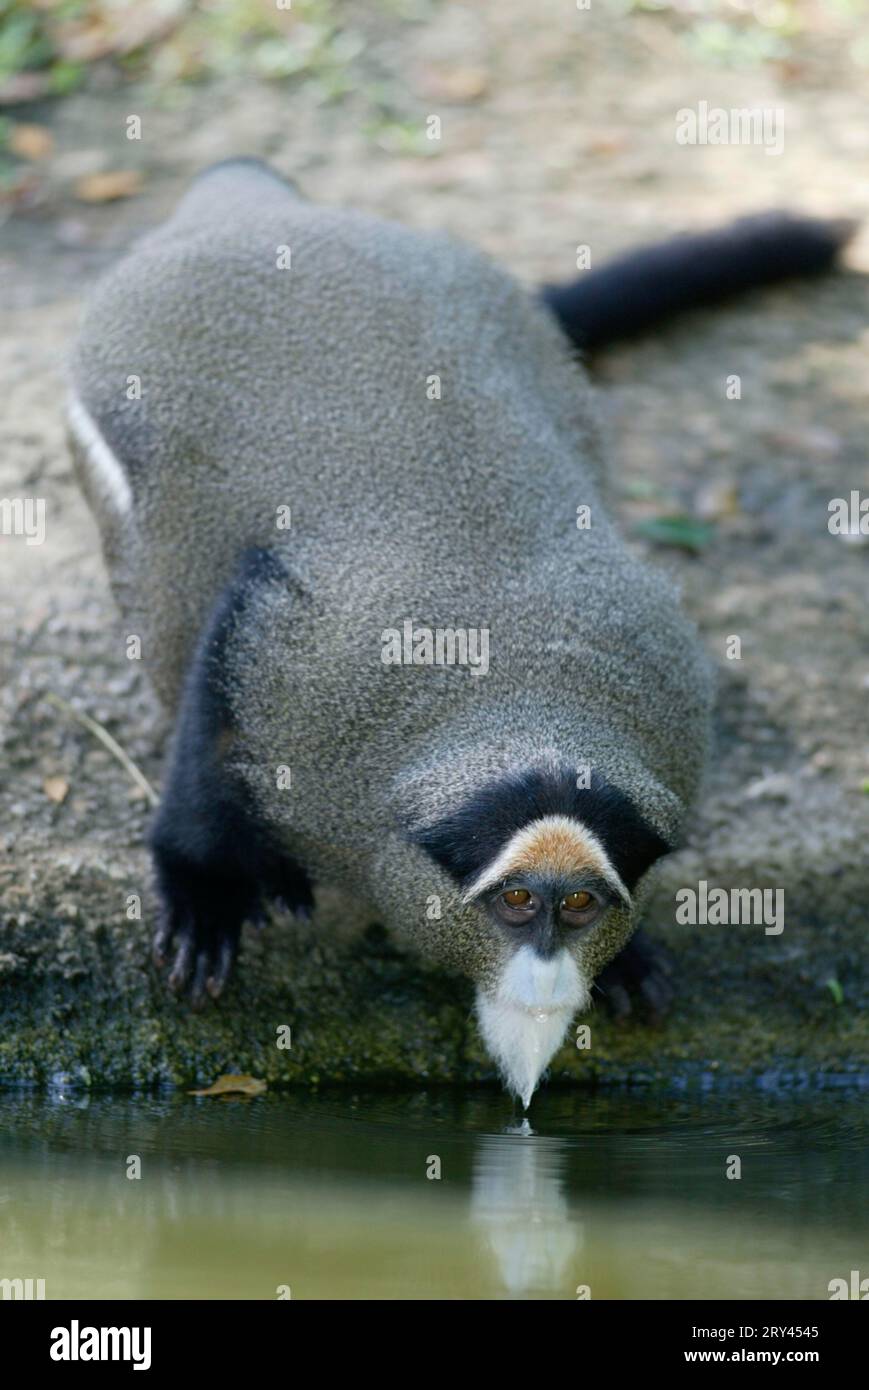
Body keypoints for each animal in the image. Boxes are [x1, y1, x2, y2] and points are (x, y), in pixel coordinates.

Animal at [67, 158, 852, 1106]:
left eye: (579, 905)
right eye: (517, 904)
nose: (547, 974)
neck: (519, 696)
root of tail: (249, 203)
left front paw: (629, 960)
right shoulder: (298, 665)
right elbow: (213, 716)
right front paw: (202, 896)